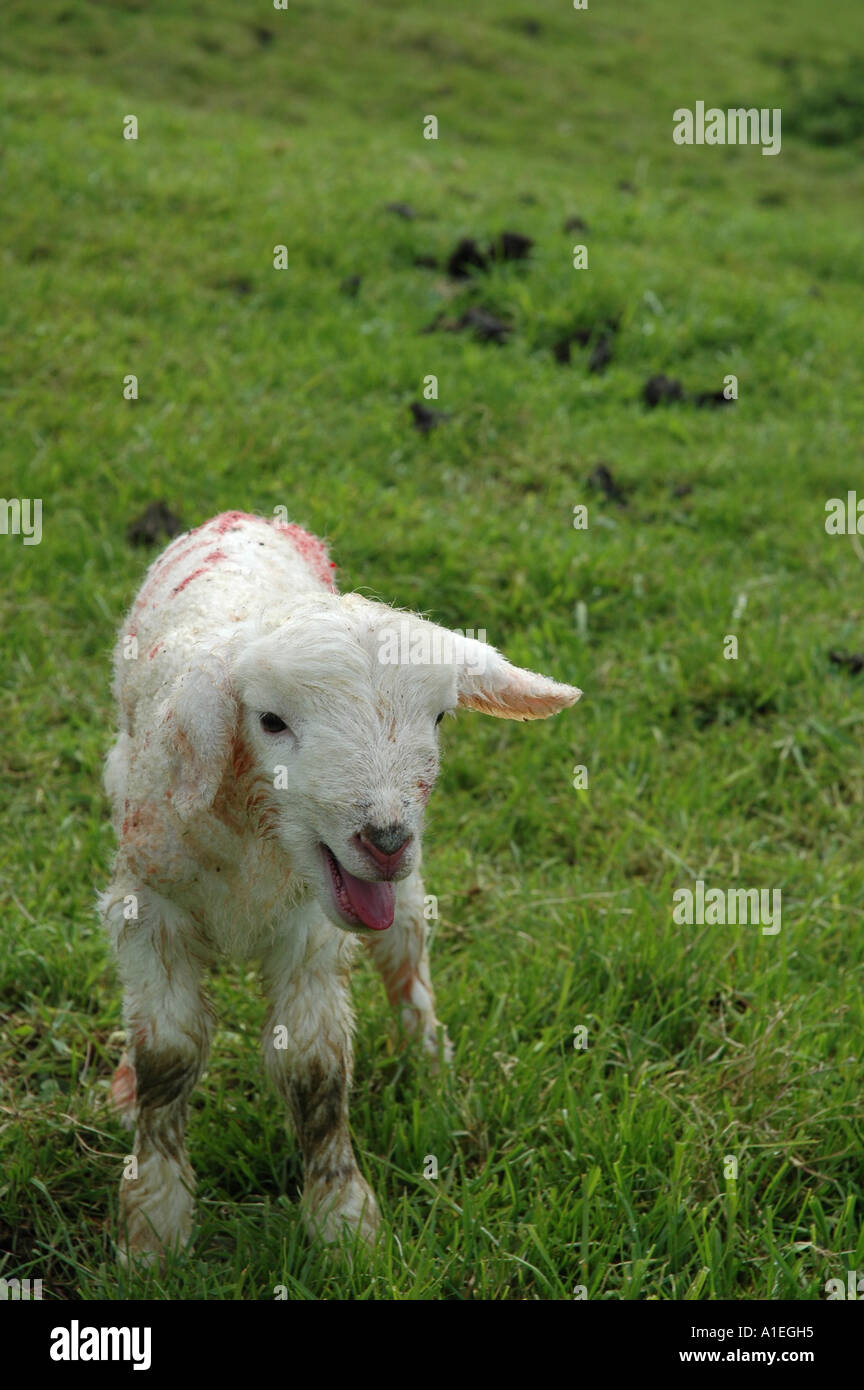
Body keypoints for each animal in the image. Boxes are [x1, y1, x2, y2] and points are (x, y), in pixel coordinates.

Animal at [99, 509, 581, 1261]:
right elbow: (167, 1056)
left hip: (404, 897)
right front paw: (154, 1226)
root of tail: (248, 516)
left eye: (440, 717)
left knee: (406, 953)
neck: (257, 844)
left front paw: (342, 1219)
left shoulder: (312, 929)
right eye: (270, 721)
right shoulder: (151, 910)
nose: (384, 841)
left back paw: (429, 1060)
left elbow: (315, 1067)